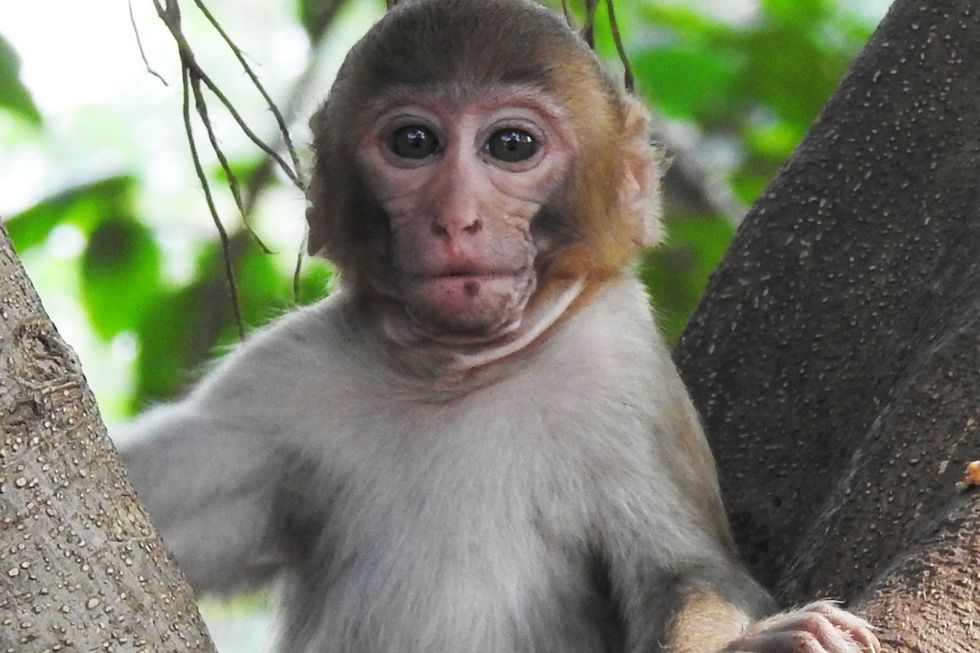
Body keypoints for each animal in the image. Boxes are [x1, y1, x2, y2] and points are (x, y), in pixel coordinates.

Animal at [115, 1, 881, 651]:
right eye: (414, 142)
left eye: (511, 144)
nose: (456, 217)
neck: (458, 372)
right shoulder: (278, 383)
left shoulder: (621, 369)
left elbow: (685, 571)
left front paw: (761, 640)